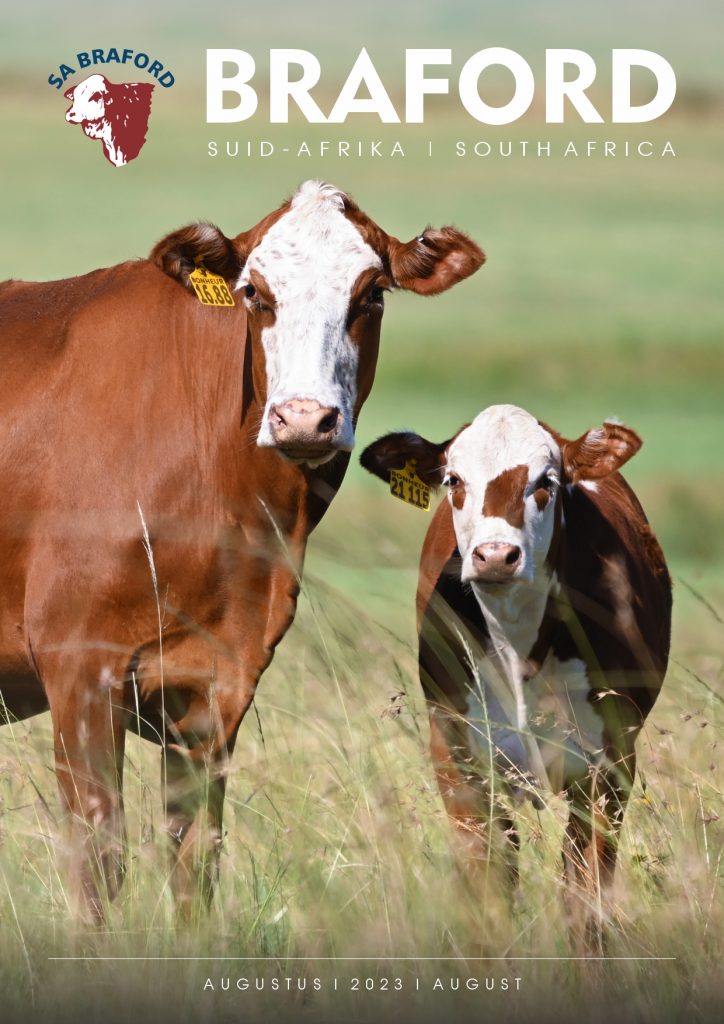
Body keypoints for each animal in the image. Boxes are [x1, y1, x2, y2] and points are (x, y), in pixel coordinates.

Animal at [0, 181, 485, 919]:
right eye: (255, 291)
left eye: (372, 292)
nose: (305, 419)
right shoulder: (77, 664)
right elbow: (98, 863)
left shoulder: (220, 680)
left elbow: (195, 861)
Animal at [361, 403, 671, 951]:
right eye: (453, 479)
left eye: (546, 481)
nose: (495, 556)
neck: (520, 645)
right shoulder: (458, 760)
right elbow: (490, 896)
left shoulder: (609, 764)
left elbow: (585, 901)